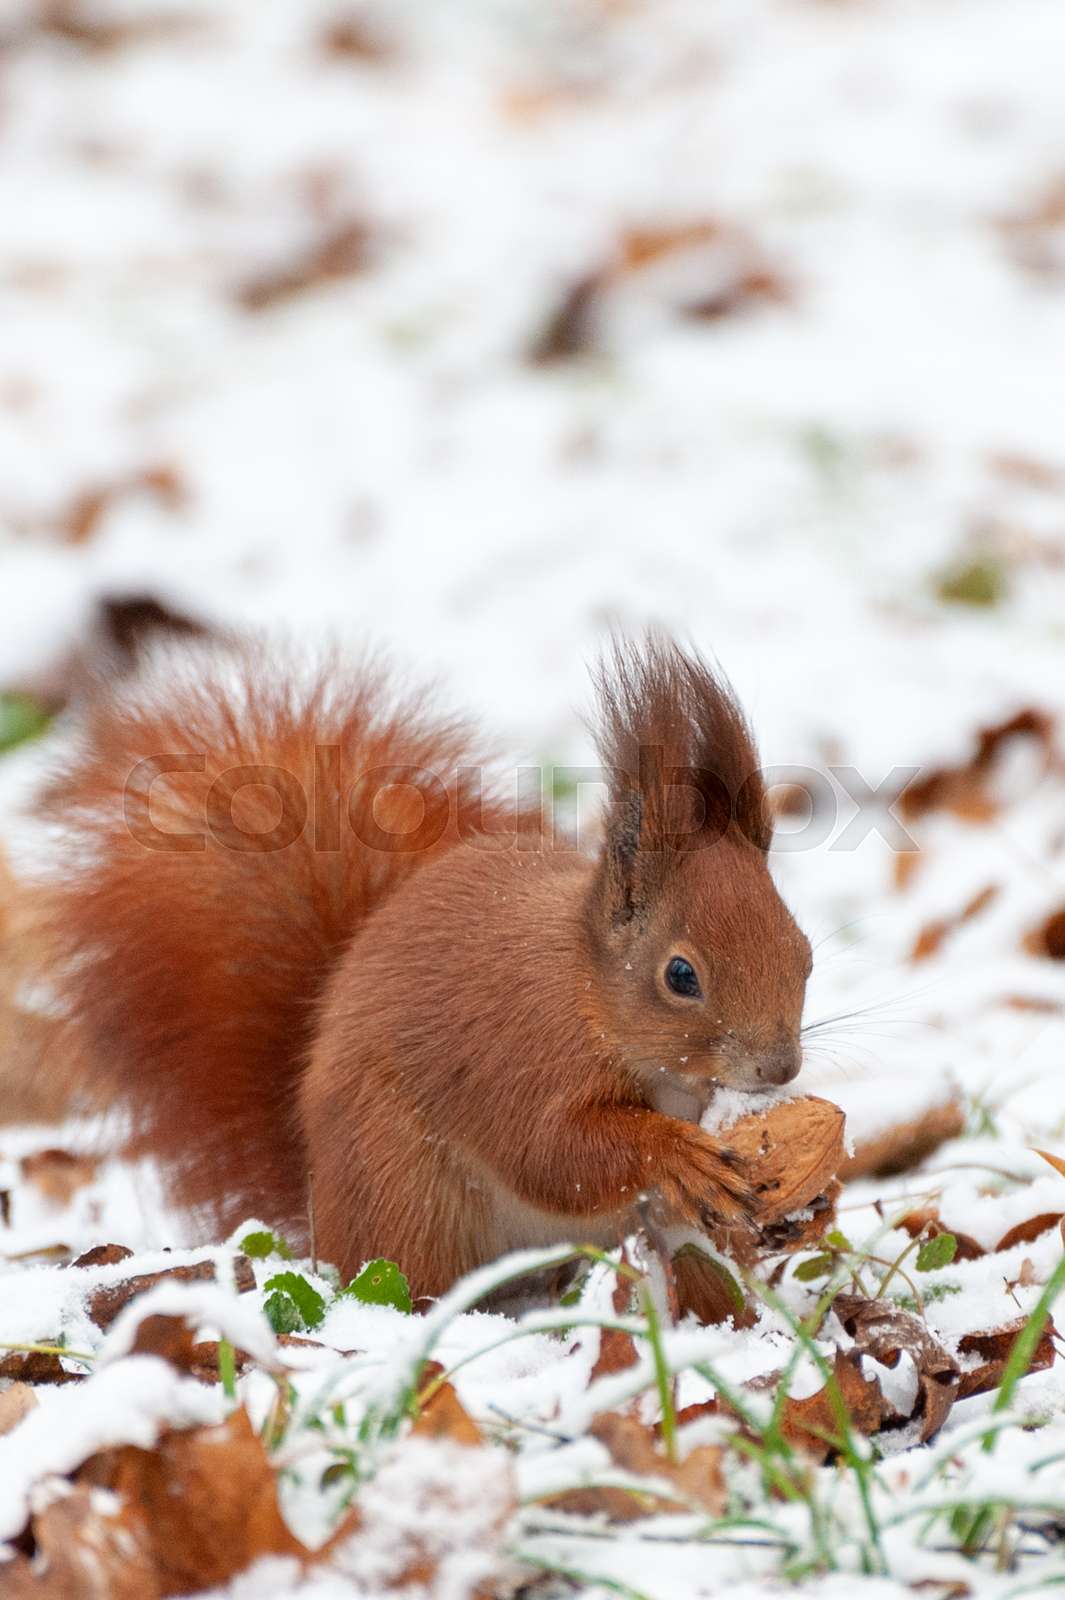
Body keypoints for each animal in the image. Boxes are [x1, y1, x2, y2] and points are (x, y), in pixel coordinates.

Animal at [38, 634, 812, 1299]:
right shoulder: (522, 1053)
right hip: (400, 1189)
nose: (779, 1068)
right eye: (680, 976)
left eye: (803, 952)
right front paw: (675, 1156)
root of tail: (320, 1206)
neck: (590, 994)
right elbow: (551, 1152)